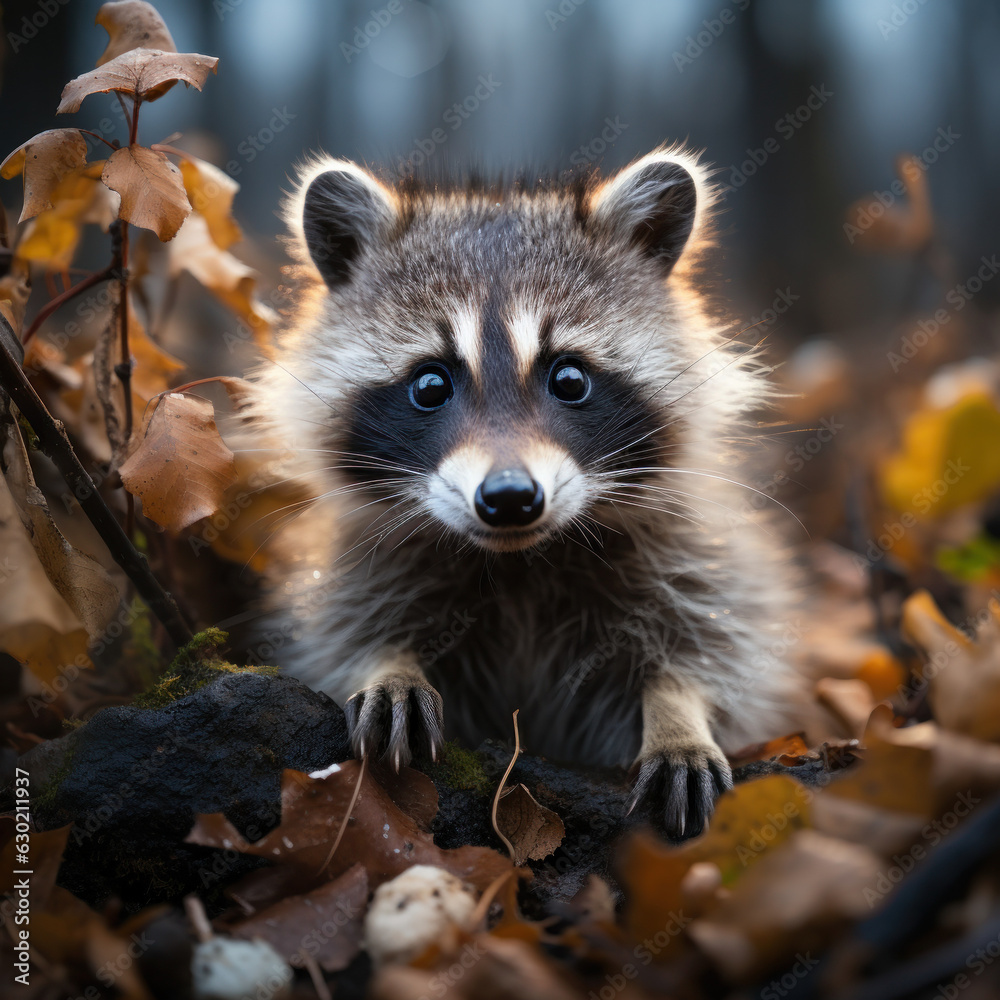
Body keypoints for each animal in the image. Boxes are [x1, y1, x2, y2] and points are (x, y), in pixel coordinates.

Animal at [248, 146, 799, 839]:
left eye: (569, 378)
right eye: (430, 384)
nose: (509, 497)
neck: (518, 564)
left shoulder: (688, 554)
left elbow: (711, 646)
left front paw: (679, 715)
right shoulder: (364, 559)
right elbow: (345, 627)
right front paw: (388, 664)